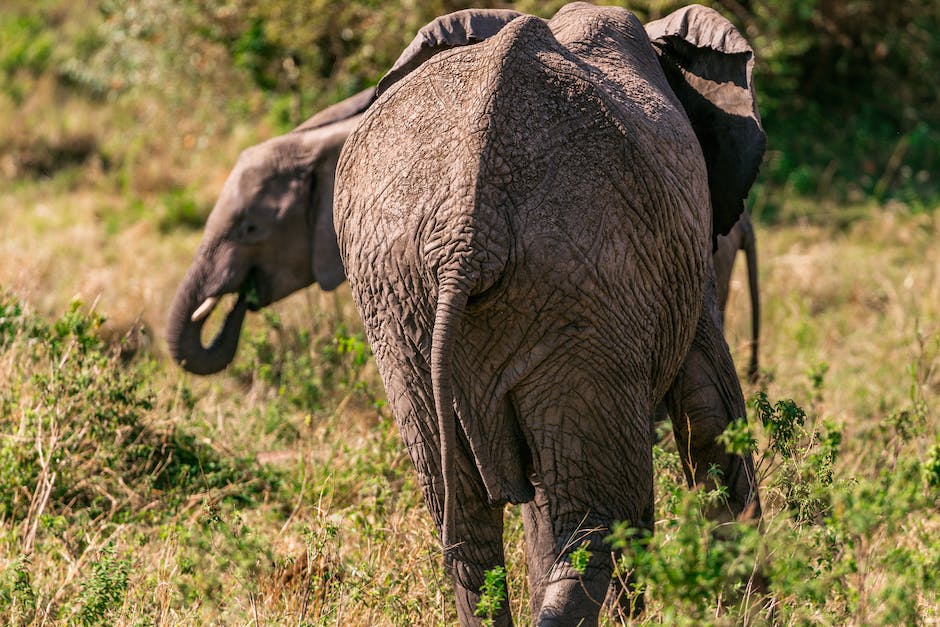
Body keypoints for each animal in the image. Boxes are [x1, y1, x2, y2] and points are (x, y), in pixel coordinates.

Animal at [334, 3, 768, 624]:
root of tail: (465, 233)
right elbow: (712, 416)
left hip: (402, 309)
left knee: (472, 534)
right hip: (580, 292)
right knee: (596, 522)